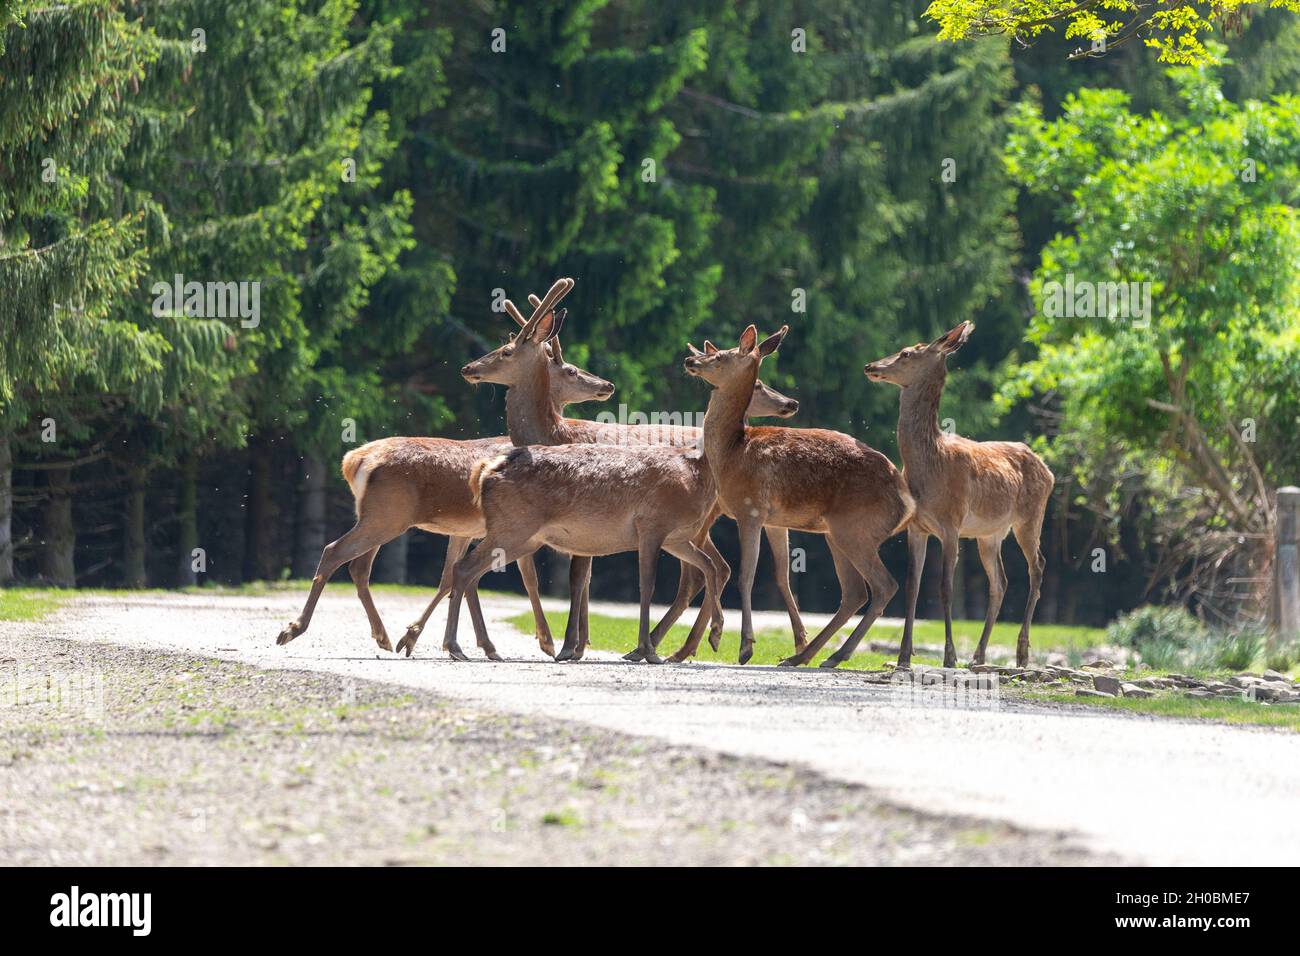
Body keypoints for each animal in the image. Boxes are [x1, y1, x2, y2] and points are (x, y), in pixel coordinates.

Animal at [275, 279, 611, 656]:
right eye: (572, 370)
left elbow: (454, 578)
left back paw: (382, 635)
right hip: (388, 515)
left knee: (358, 567)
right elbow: (522, 578)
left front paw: (467, 642)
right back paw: (295, 629)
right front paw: (545, 641)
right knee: (335, 552)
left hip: (376, 514)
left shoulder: (467, 529)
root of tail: (354, 460)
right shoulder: (503, 525)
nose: (606, 385)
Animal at [685, 325, 914, 667]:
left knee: (884, 585)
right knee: (855, 592)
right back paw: (805, 655)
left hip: (856, 528)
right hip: (838, 533)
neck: (732, 451)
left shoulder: (750, 509)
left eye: (721, 356)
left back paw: (833, 655)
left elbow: (745, 575)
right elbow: (778, 576)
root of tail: (906, 499)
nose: (690, 360)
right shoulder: (772, 519)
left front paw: (744, 646)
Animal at [864, 321, 1054, 669]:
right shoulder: (917, 526)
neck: (930, 466)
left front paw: (949, 656)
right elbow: (912, 586)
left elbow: (945, 587)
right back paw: (978, 655)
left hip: (1030, 517)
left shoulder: (951, 523)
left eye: (906, 353)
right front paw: (903, 656)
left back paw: (1021, 654)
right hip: (990, 533)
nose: (871, 366)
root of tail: (1048, 470)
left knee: (1038, 566)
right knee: (1000, 582)